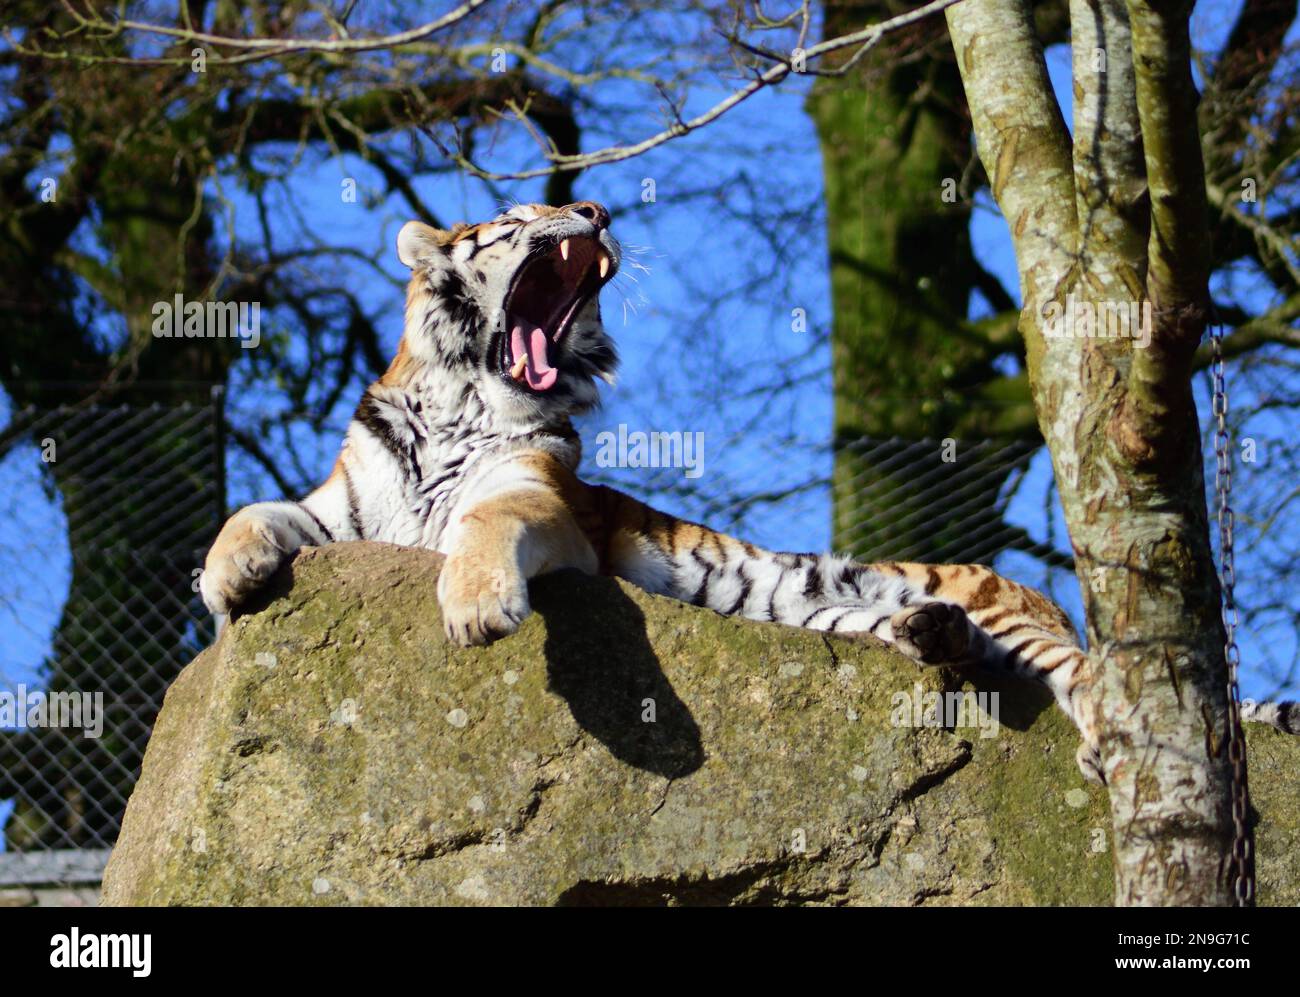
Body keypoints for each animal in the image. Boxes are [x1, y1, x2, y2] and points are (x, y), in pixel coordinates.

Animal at [200, 200, 1299, 785]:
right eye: (519, 219)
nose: (595, 209)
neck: (470, 397)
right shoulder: (344, 505)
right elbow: (255, 510)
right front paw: (227, 582)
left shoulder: (550, 508)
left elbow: (487, 516)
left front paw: (475, 606)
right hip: (848, 615)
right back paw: (927, 633)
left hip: (1022, 618)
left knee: (1089, 679)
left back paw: (1107, 746)